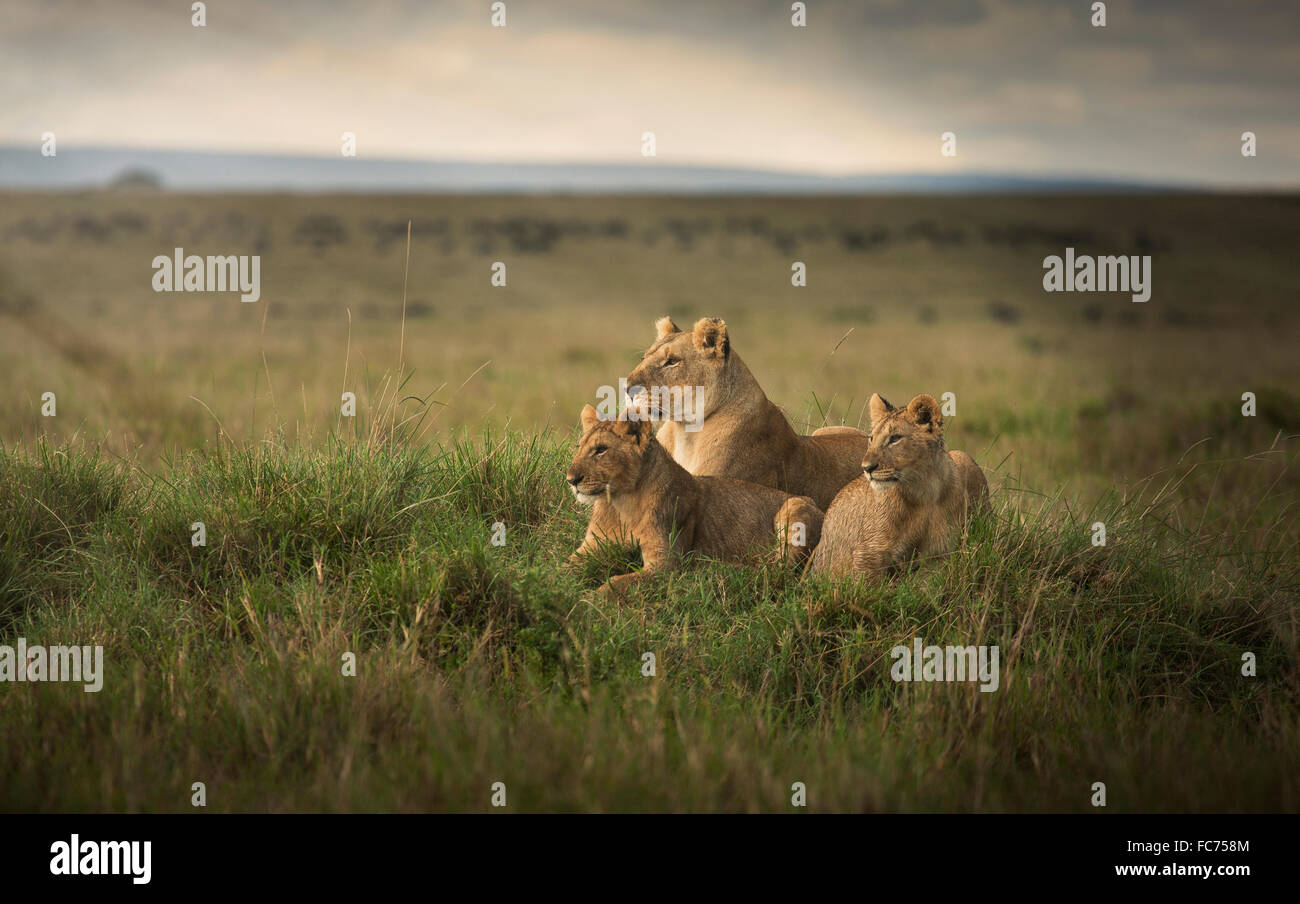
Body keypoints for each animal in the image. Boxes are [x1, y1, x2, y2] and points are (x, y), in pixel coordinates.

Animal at [567, 404, 824, 593]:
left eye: (601, 450)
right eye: (579, 447)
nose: (571, 480)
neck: (622, 502)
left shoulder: (665, 566)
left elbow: (615, 583)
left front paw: (589, 601)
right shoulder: (590, 548)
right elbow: (563, 568)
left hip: (796, 506)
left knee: (777, 573)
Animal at [809, 392, 989, 579]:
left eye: (895, 438)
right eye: (871, 438)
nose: (866, 468)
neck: (923, 492)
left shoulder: (938, 554)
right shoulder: (867, 554)